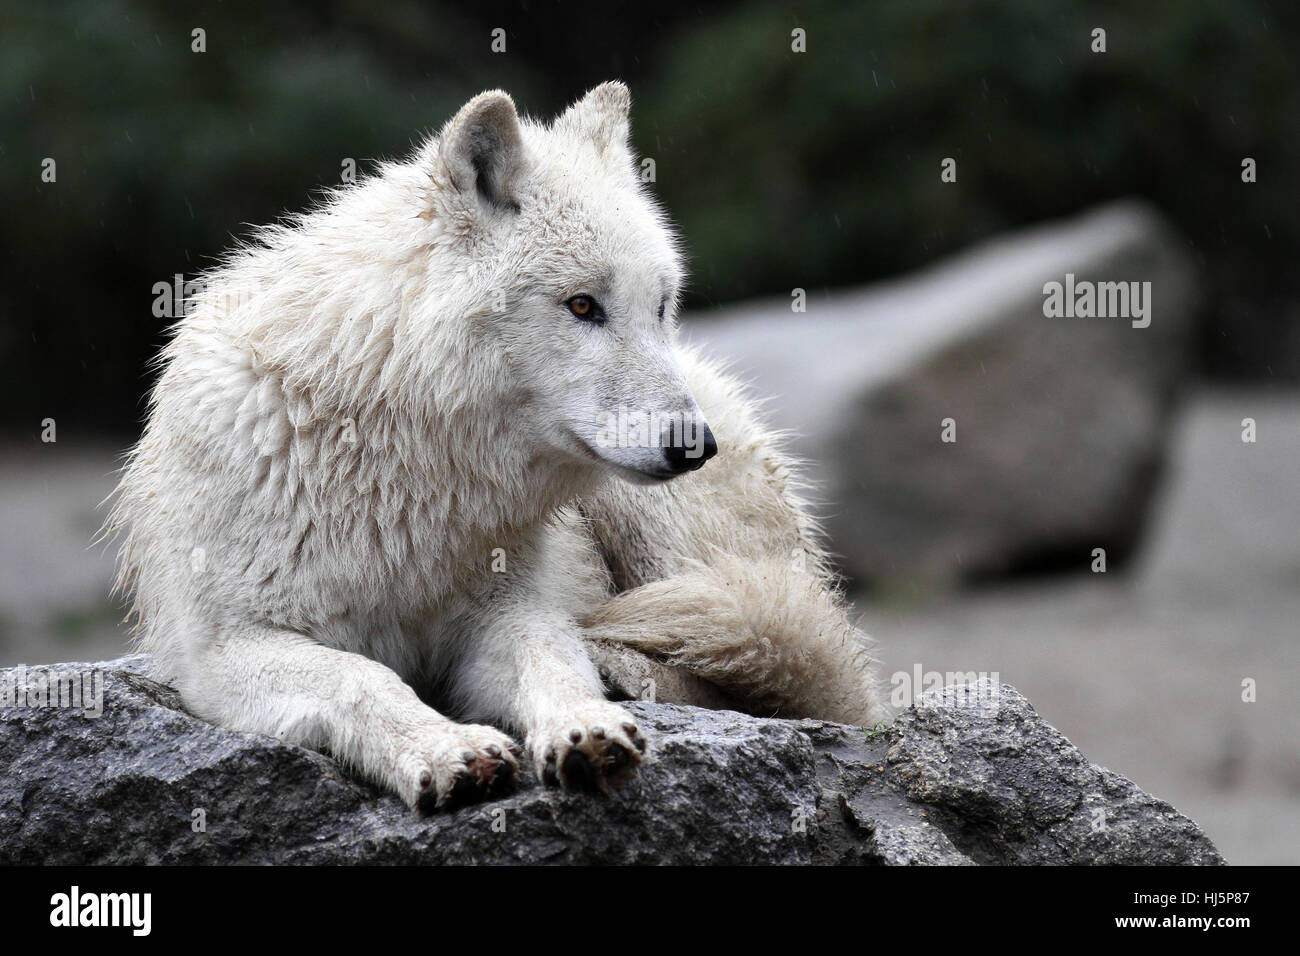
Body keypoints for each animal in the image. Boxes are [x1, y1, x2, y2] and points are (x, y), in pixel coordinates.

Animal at [108, 82, 885, 812]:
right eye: (582, 305)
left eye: (660, 305)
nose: (695, 445)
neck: (401, 456)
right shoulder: (226, 652)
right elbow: (365, 677)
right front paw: (446, 749)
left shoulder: (505, 611)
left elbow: (549, 657)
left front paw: (584, 728)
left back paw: (624, 668)